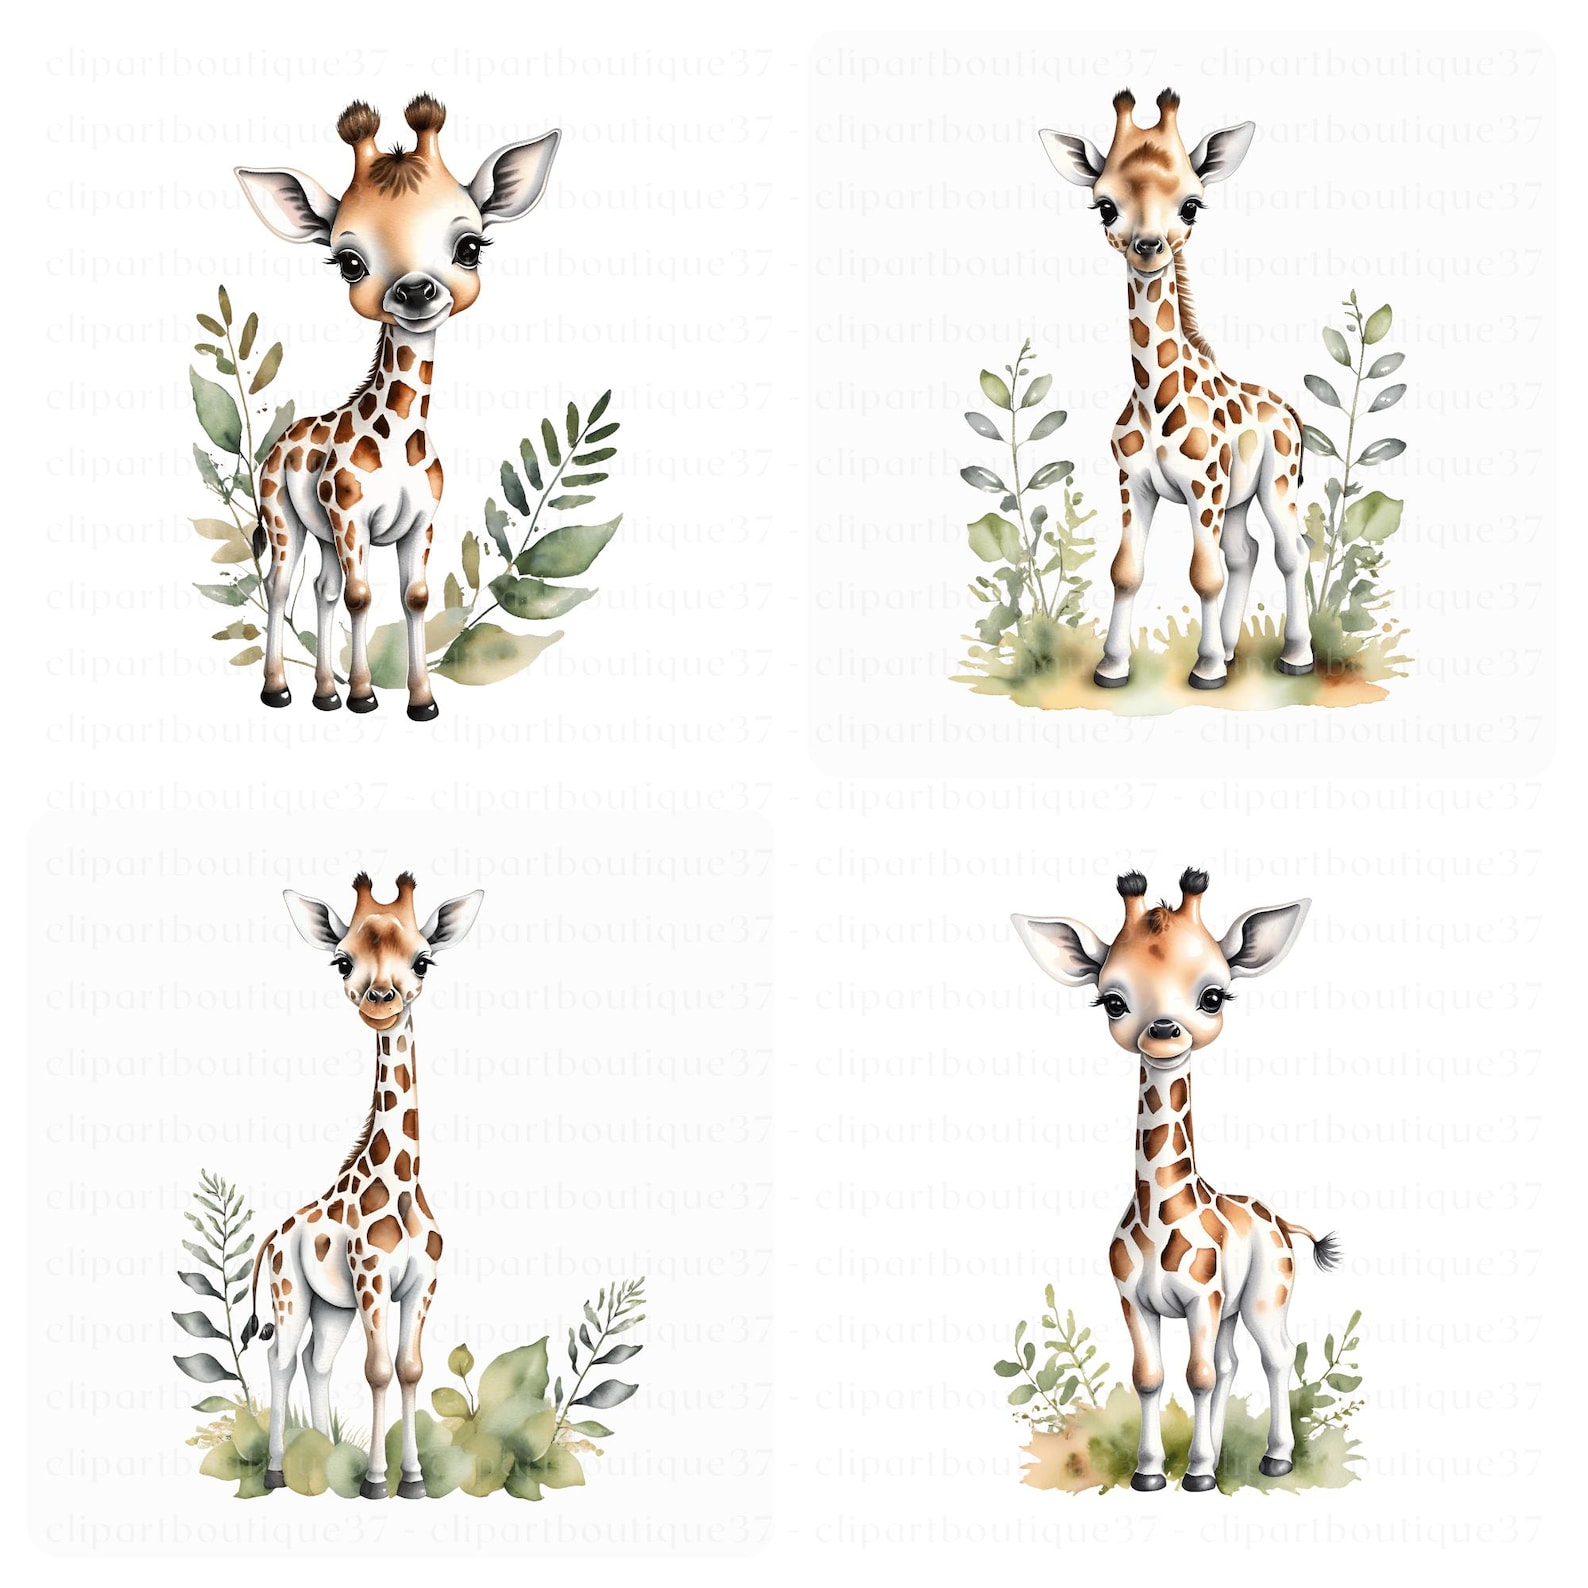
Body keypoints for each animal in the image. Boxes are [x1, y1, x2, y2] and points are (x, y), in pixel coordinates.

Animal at [235, 94, 559, 719]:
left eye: (470, 246)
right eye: (348, 261)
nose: (414, 291)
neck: (400, 440)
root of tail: (278, 444)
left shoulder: (419, 524)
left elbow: (414, 596)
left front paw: (420, 700)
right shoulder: (352, 518)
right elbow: (363, 597)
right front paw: (364, 696)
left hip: (323, 534)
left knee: (322, 588)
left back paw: (323, 693)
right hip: (286, 519)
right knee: (283, 586)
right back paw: (278, 690)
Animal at [240, 872, 484, 1498]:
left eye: (423, 960)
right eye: (342, 960)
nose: (381, 1001)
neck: (402, 1181)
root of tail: (272, 1237)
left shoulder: (422, 1283)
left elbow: (408, 1369)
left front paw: (412, 1479)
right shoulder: (372, 1278)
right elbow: (376, 1371)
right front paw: (377, 1480)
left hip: (333, 1307)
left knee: (315, 1361)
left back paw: (325, 1454)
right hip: (292, 1294)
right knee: (281, 1360)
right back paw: (279, 1469)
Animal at [1012, 869, 1339, 1492]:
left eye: (1213, 995)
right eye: (1112, 1000)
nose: (1164, 1032)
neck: (1156, 1212)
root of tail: (1282, 1221)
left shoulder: (1200, 1298)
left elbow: (1198, 1375)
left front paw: (1199, 1475)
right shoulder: (1134, 1300)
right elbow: (1152, 1375)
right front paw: (1152, 1471)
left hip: (1264, 1296)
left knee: (1276, 1355)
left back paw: (1275, 1458)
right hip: (1232, 1310)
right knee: (1232, 1362)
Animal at [1040, 89, 1314, 690]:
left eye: (1191, 204)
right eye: (1105, 205)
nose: (1148, 247)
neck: (1151, 397)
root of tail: (1289, 411)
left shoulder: (1202, 486)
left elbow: (1203, 574)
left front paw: (1205, 669)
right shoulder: (1133, 485)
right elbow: (1125, 570)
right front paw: (1112, 666)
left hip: (1275, 483)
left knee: (1292, 551)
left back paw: (1295, 655)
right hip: (1237, 497)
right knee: (1245, 551)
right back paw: (1233, 649)